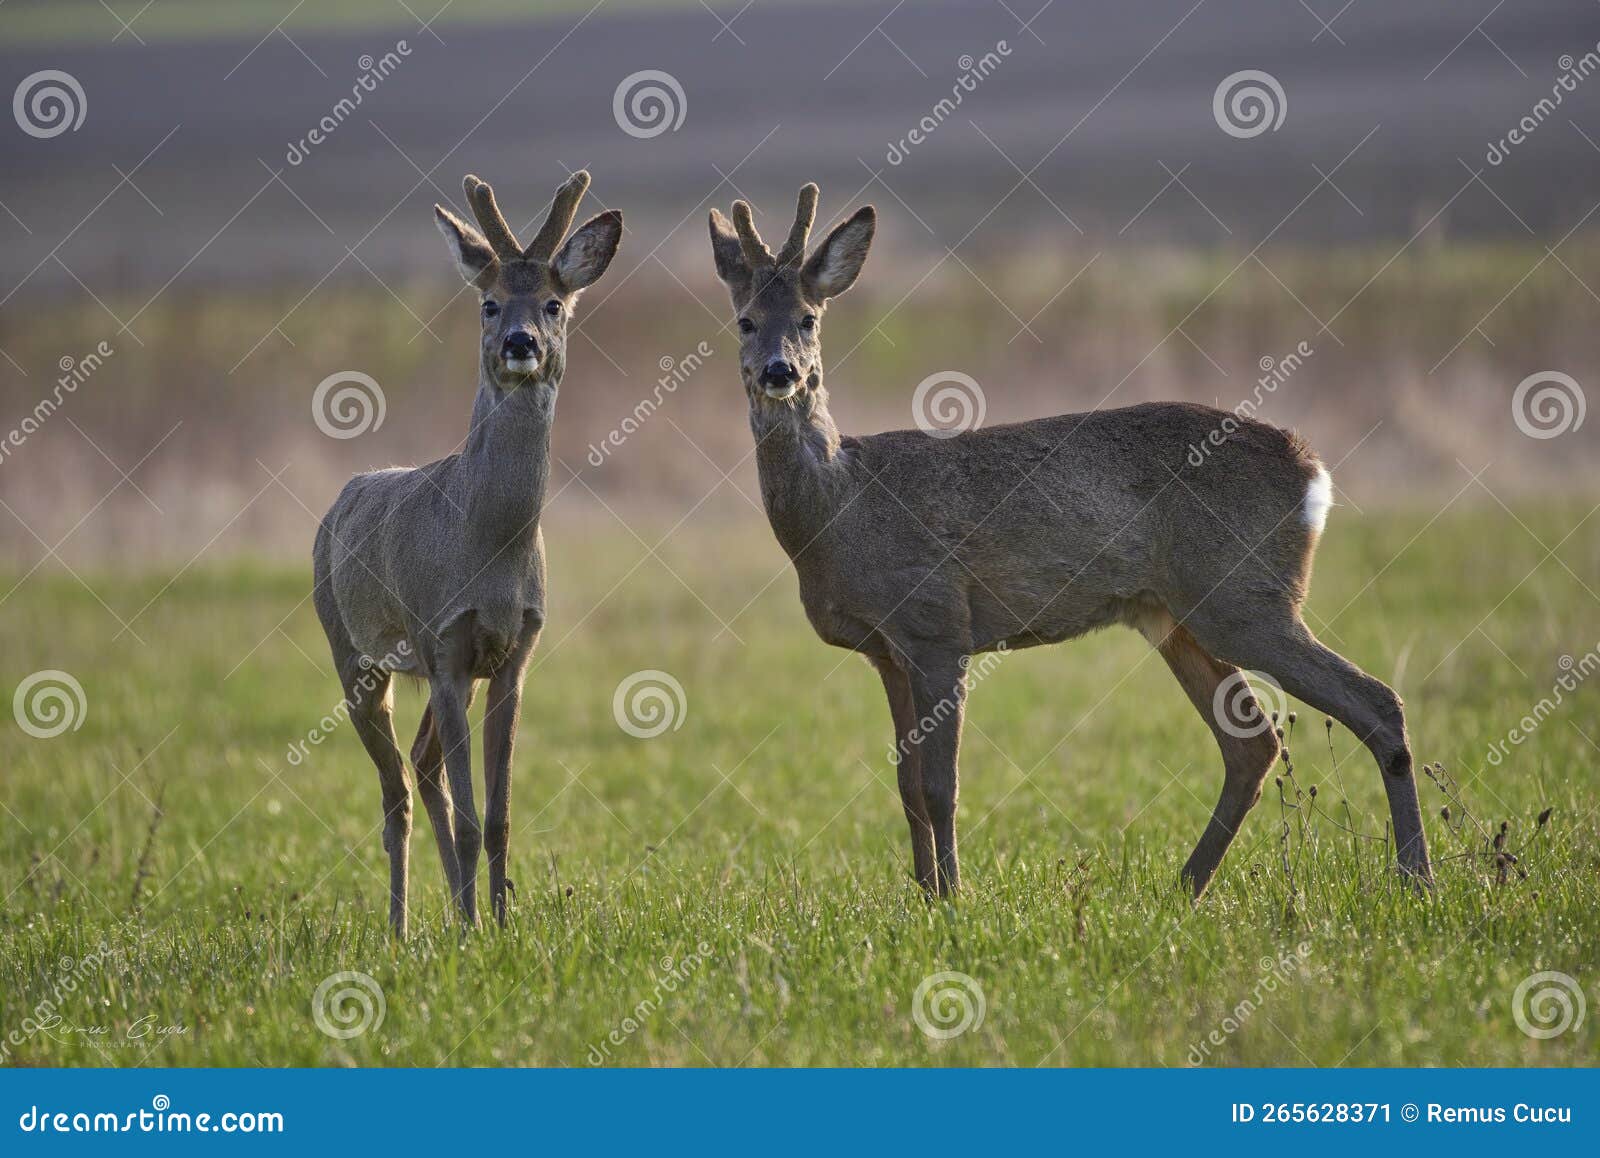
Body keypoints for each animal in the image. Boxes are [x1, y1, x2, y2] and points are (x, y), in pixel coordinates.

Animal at [313, 170, 621, 936]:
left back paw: (452, 913)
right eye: (488, 301)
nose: (519, 341)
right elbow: (471, 817)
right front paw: (476, 929)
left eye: (552, 302)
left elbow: (500, 814)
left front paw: (501, 925)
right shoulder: (443, 641)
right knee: (395, 790)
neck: (490, 549)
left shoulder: (511, 655)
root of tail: (343, 497)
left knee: (422, 769)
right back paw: (401, 928)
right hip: (354, 654)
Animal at [707, 183, 1433, 900]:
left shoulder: (936, 623)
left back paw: (1415, 879)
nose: (779, 372)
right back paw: (1185, 887)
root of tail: (1313, 468)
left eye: (808, 318)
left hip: (1245, 598)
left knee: (1376, 701)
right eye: (745, 320)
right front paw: (924, 897)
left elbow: (941, 786)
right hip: (1175, 615)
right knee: (1254, 743)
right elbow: (907, 788)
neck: (839, 510)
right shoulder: (886, 652)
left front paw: (953, 901)